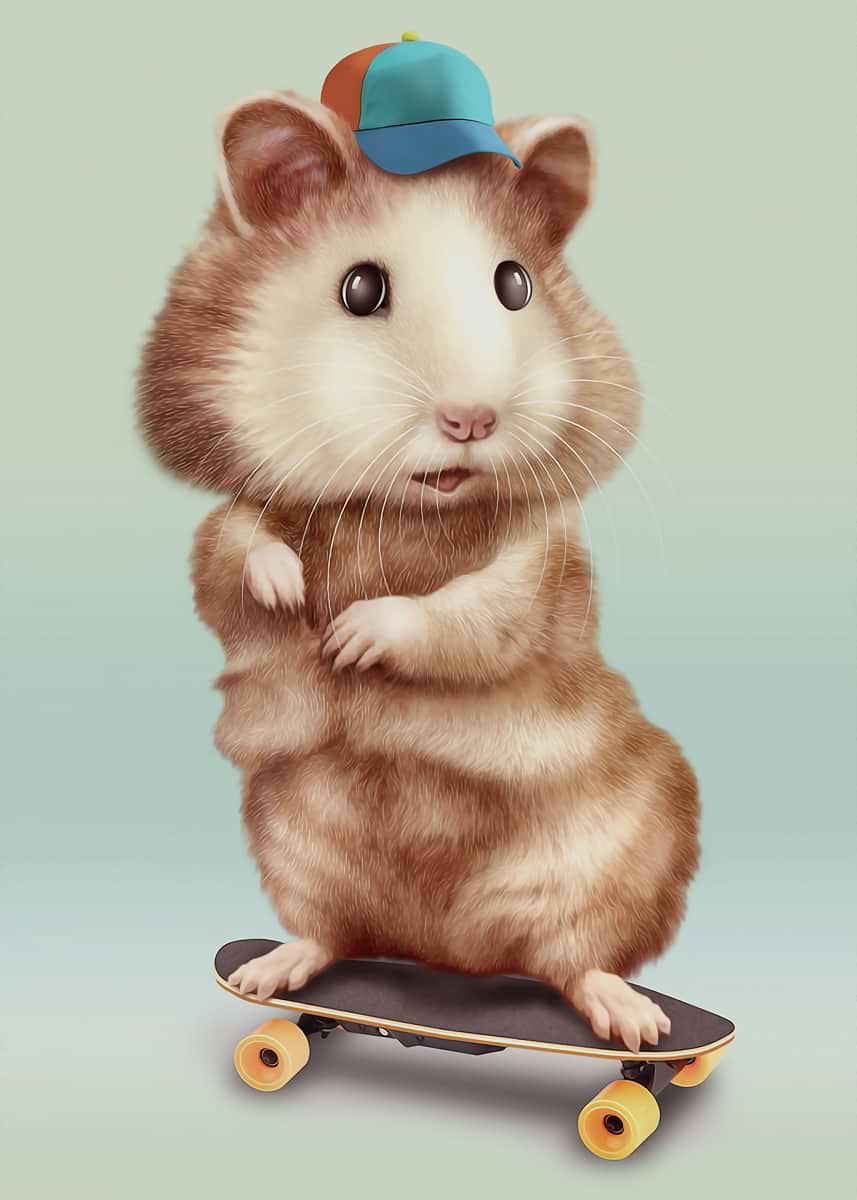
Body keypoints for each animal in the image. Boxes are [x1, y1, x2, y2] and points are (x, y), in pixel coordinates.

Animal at [138, 91, 699, 1052]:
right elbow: (233, 549)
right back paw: (266, 973)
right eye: (360, 289)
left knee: (577, 956)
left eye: (516, 284)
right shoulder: (236, 519)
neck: (410, 508)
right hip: (293, 837)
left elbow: (467, 609)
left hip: (621, 846)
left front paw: (349, 639)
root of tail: (444, 952)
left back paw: (639, 1028)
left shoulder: (534, 560)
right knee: (331, 932)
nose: (471, 420)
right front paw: (292, 595)